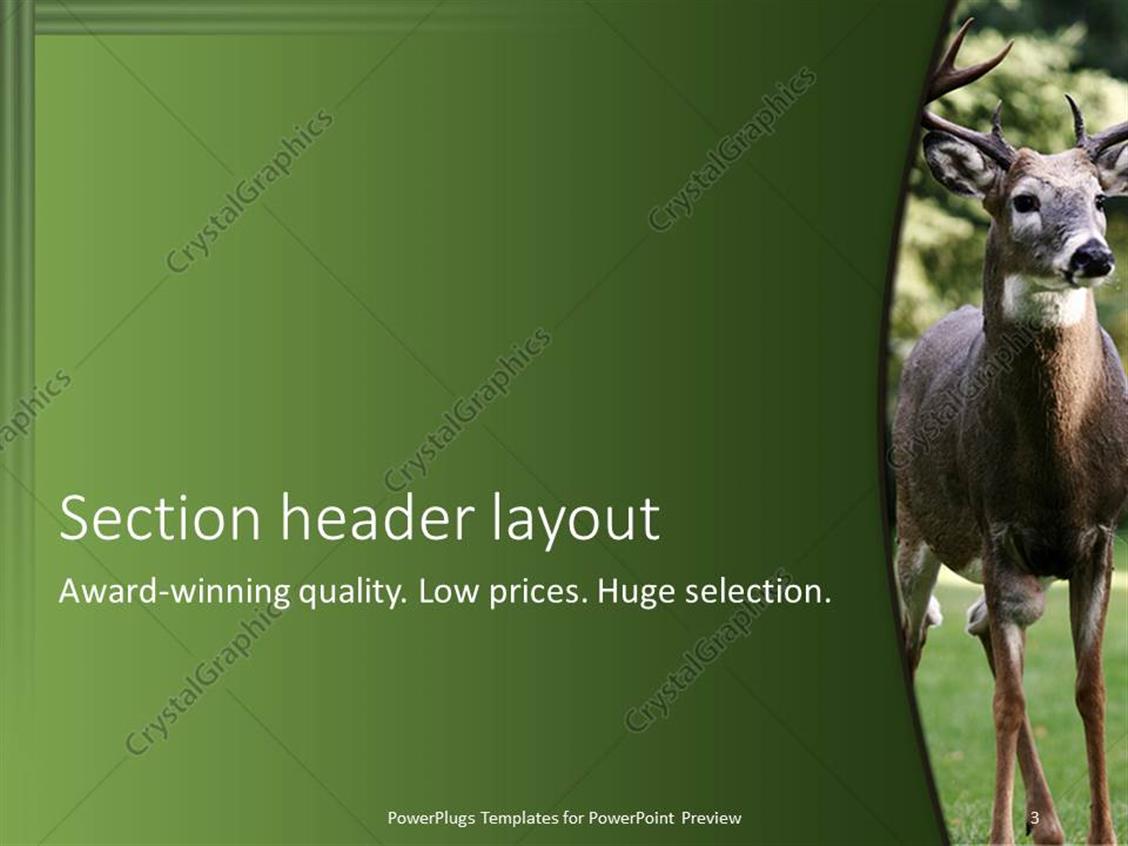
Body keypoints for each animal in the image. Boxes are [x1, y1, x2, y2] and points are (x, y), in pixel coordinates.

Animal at [892, 19, 1128, 846]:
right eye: (1023, 199)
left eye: (1100, 198)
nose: (1094, 254)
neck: (1054, 469)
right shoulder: (996, 530)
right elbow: (1007, 702)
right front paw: (996, 833)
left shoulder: (1098, 535)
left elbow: (1090, 692)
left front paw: (1100, 833)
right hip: (914, 527)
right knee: (917, 640)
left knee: (979, 627)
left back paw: (1047, 822)